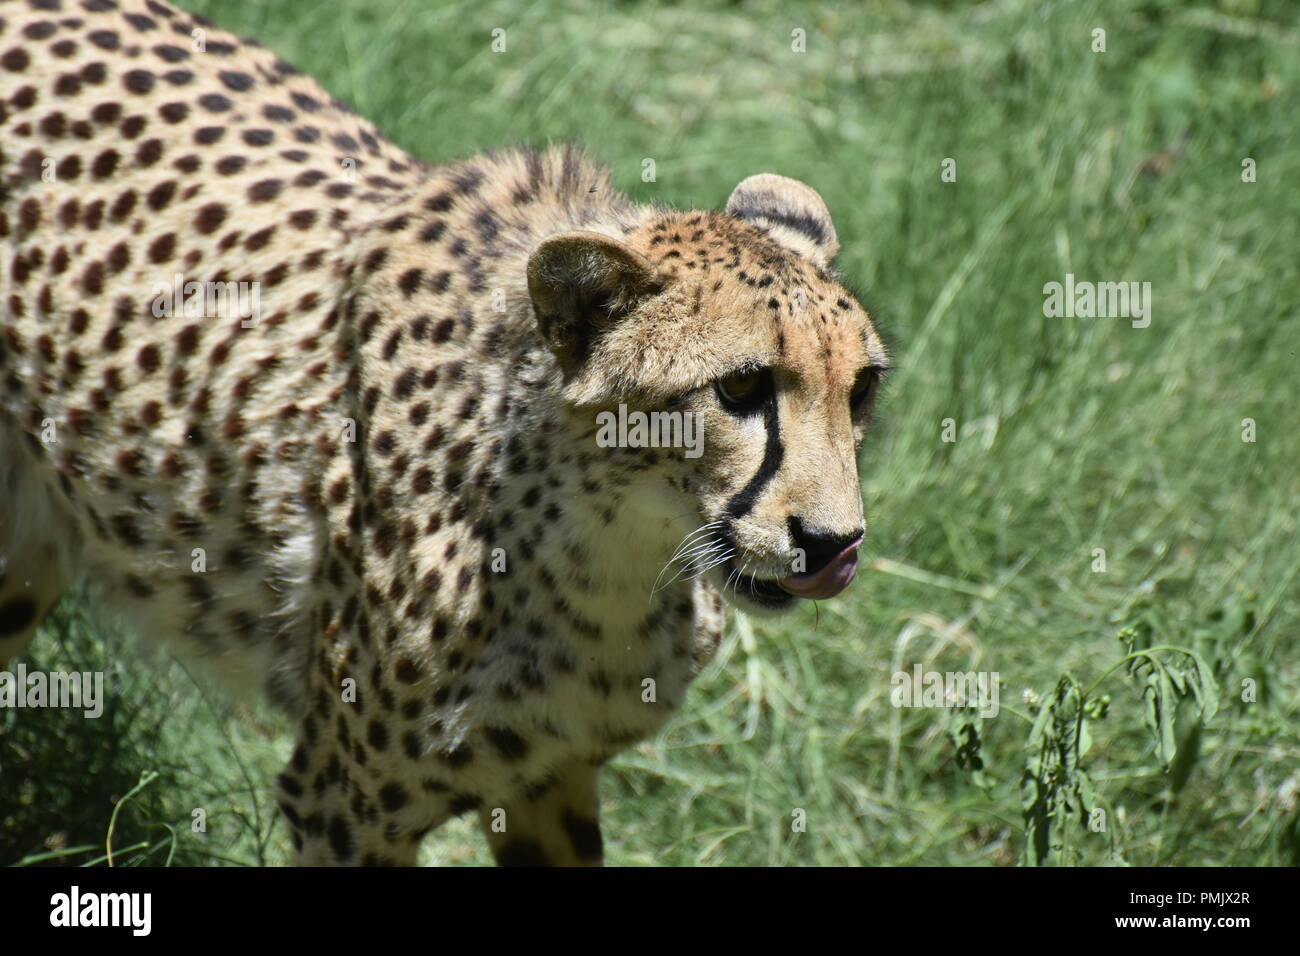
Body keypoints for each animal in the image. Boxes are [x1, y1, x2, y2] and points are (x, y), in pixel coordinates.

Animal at [0, 0, 890, 865]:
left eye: (863, 388)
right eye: (739, 387)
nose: (834, 542)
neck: (604, 549)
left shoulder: (549, 777)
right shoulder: (341, 803)